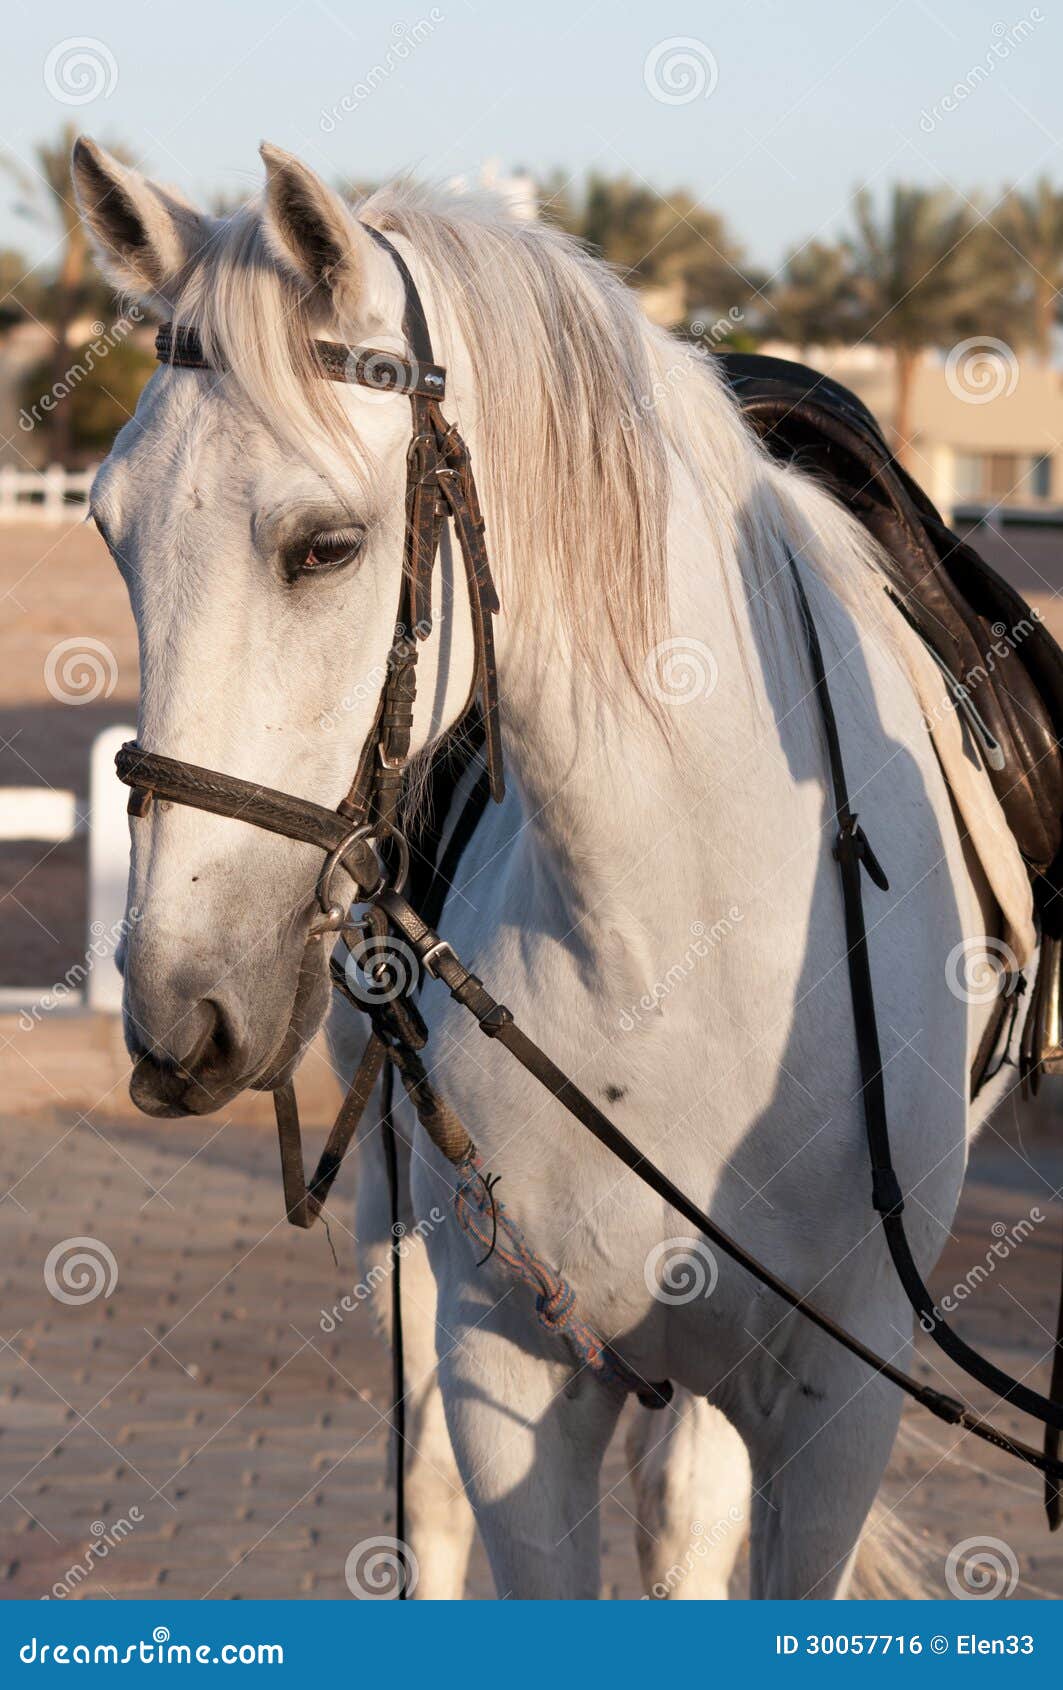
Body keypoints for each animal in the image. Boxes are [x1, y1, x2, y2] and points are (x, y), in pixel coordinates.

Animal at [72, 135, 1017, 1599]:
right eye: (111, 530)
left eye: (323, 546)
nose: (178, 1012)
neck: (681, 944)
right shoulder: (505, 1369)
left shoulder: (835, 1402)